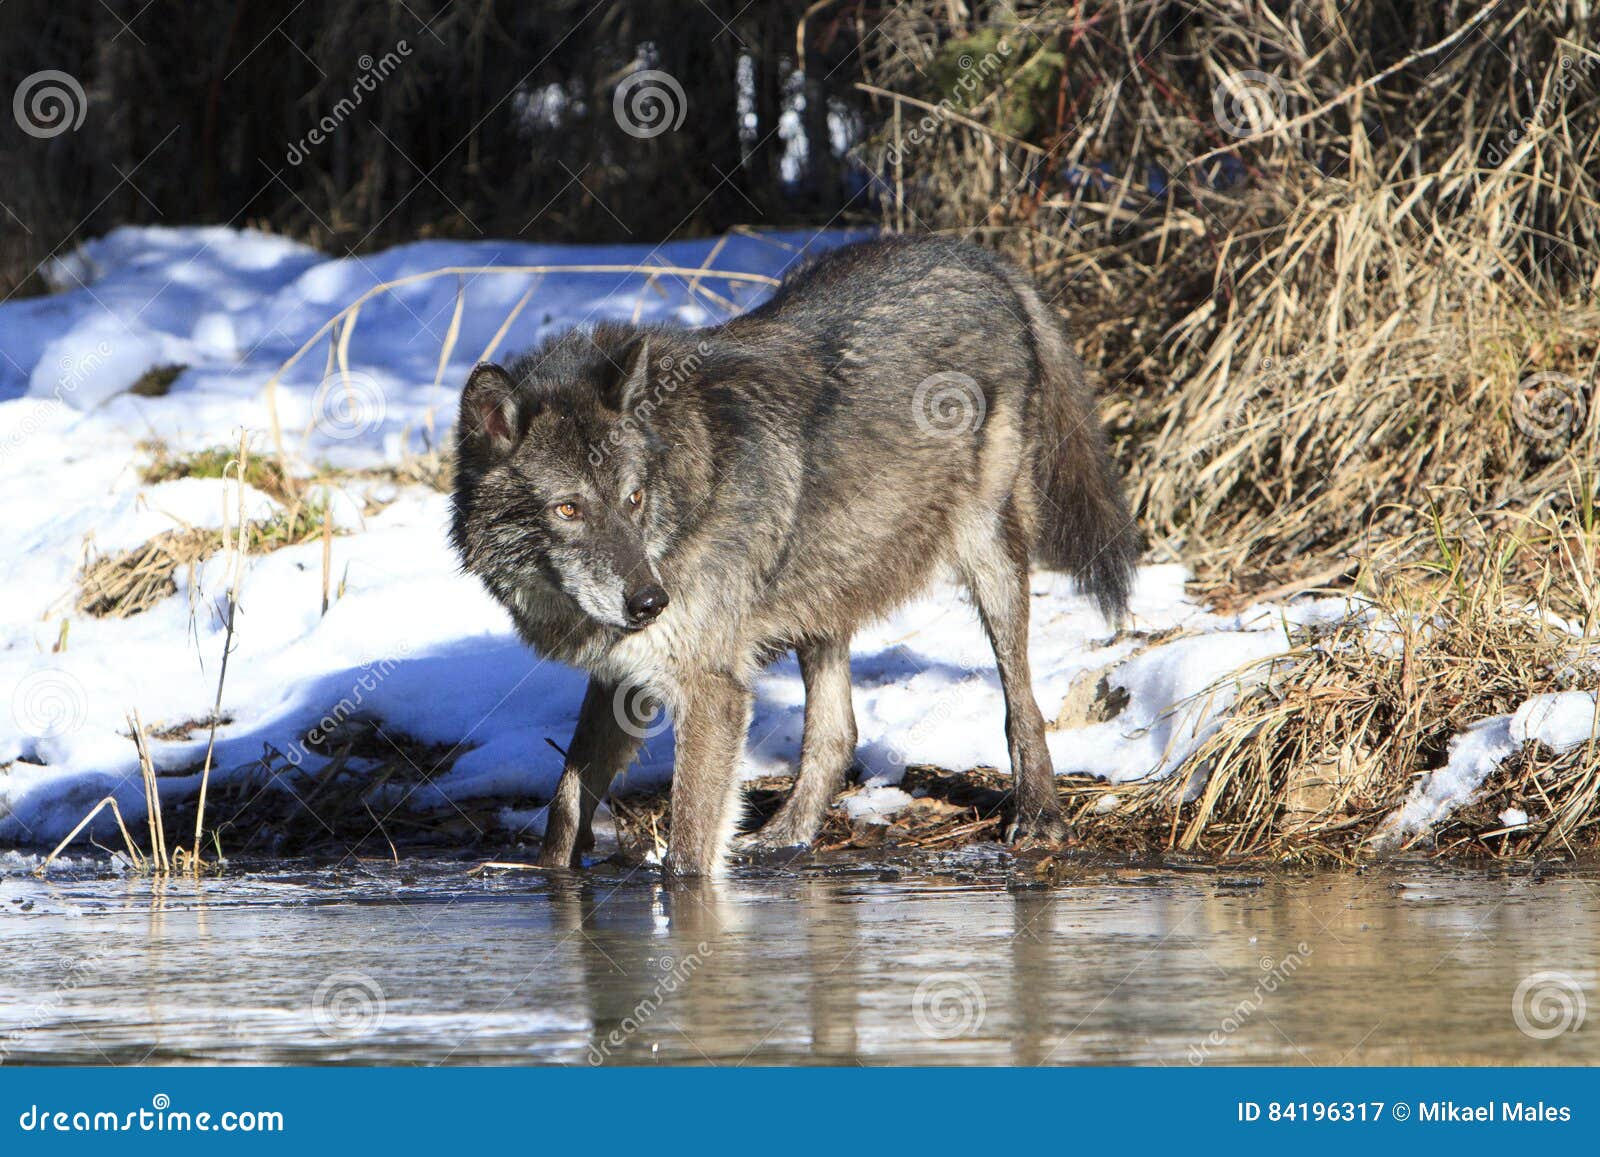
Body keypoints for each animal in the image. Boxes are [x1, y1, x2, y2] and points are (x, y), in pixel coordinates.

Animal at [451, 236, 1139, 877]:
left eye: (633, 498)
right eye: (569, 509)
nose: (650, 601)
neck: (678, 505)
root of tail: (981, 258)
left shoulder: (710, 686)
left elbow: (688, 855)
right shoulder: (622, 676)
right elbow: (567, 801)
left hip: (984, 552)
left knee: (1021, 702)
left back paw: (1040, 818)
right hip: (828, 586)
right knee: (838, 734)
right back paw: (788, 835)